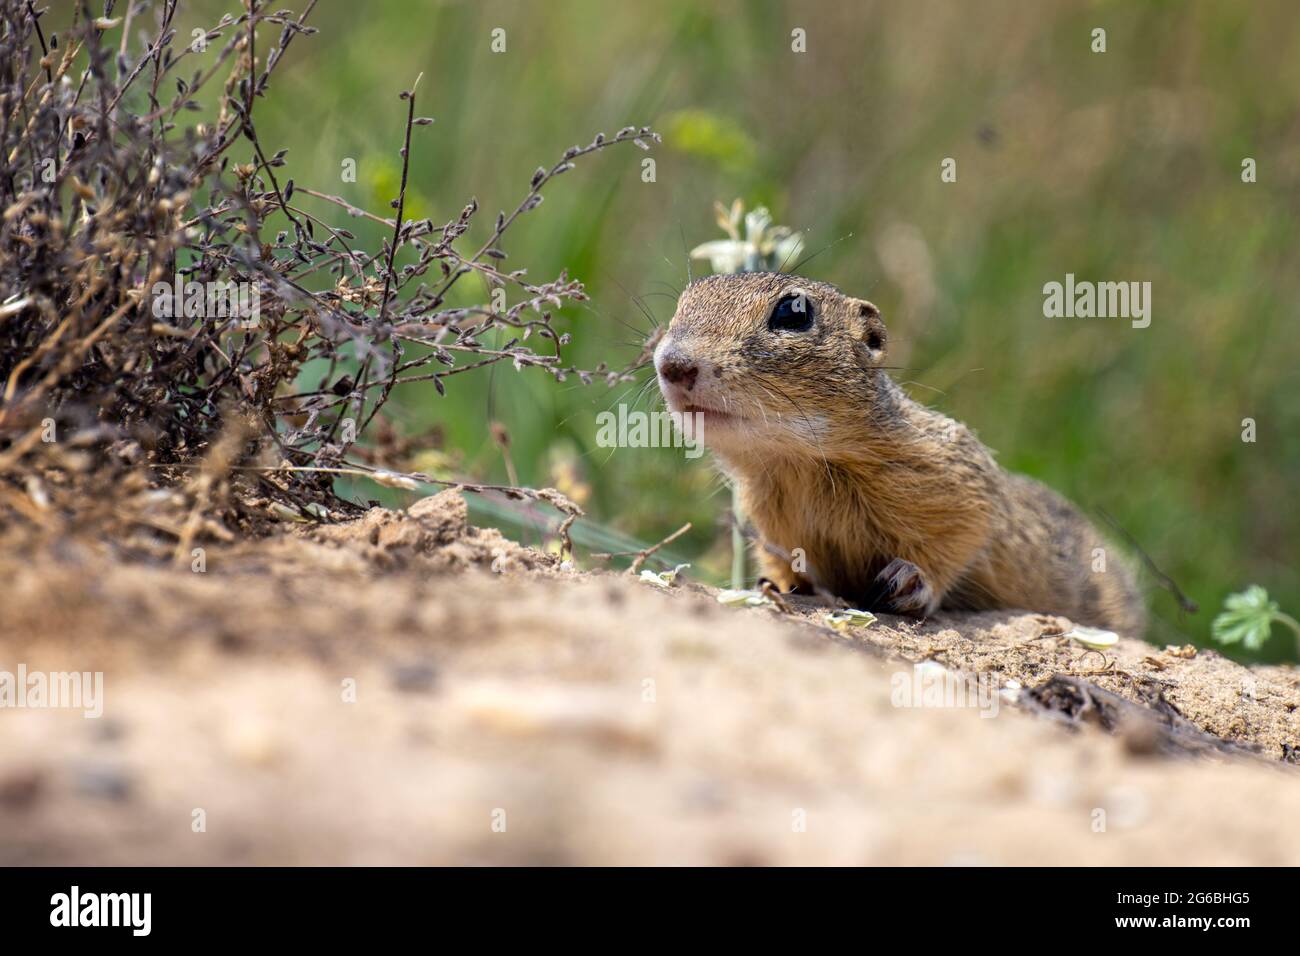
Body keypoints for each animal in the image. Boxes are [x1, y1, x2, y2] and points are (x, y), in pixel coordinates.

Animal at [654, 272, 1146, 636]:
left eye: (793, 312)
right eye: (683, 301)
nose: (672, 363)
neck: (798, 463)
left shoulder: (956, 477)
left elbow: (965, 532)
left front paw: (911, 581)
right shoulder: (764, 515)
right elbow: (780, 559)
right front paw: (778, 583)